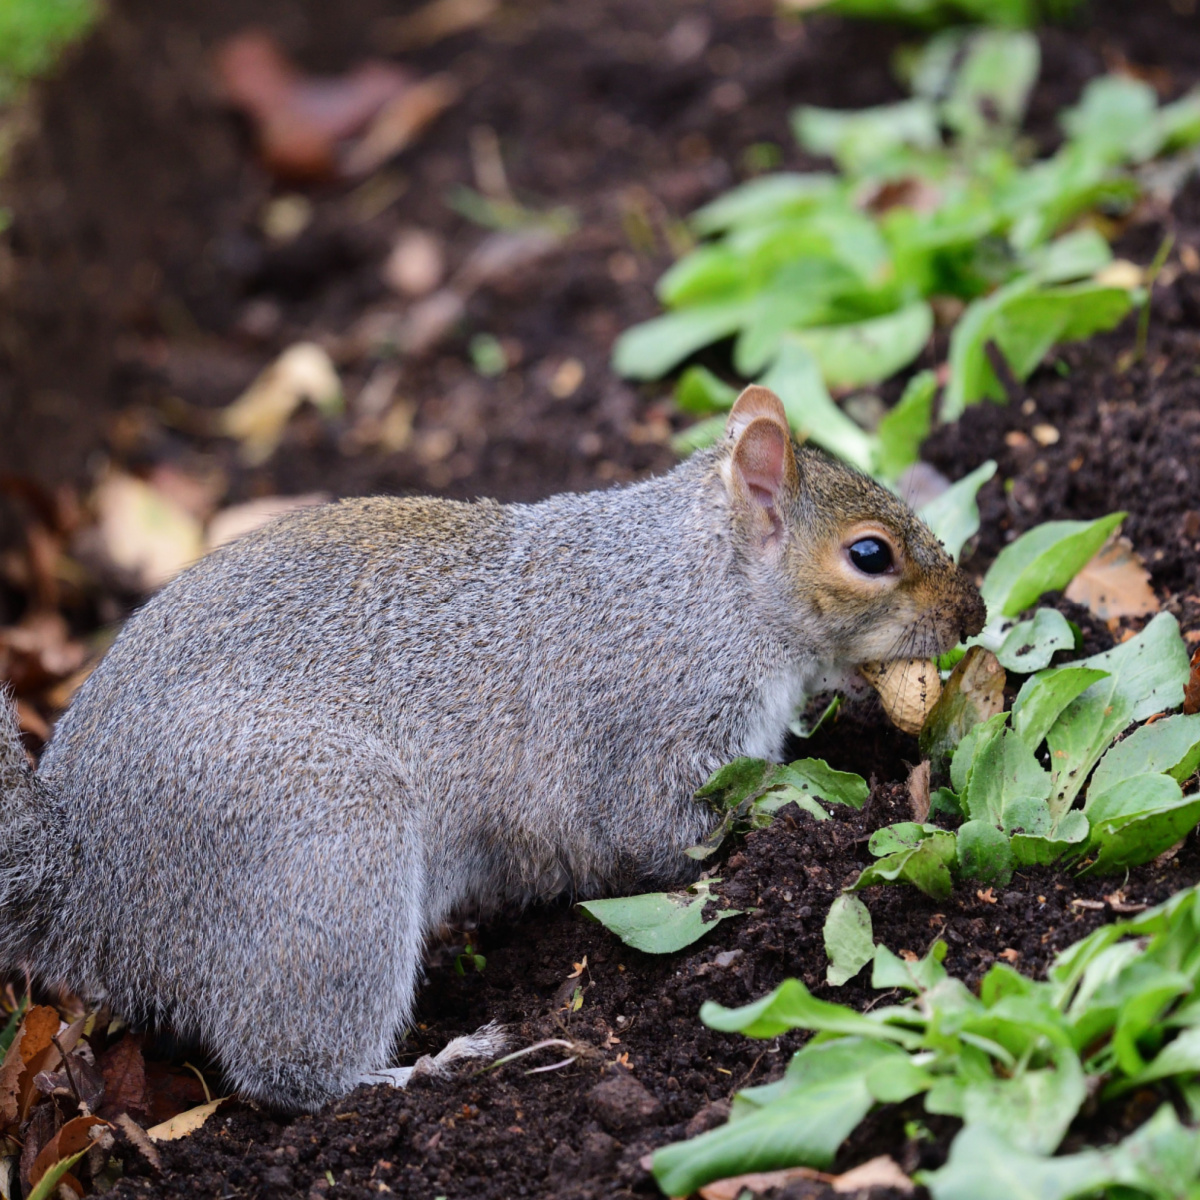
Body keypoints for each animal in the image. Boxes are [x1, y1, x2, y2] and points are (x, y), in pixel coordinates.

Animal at [0, 386, 985, 1112]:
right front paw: (800, 809)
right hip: (326, 839)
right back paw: (429, 1066)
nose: (973, 611)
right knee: (289, 1074)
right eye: (870, 554)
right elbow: (672, 832)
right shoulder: (650, 724)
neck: (702, 587)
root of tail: (87, 876)